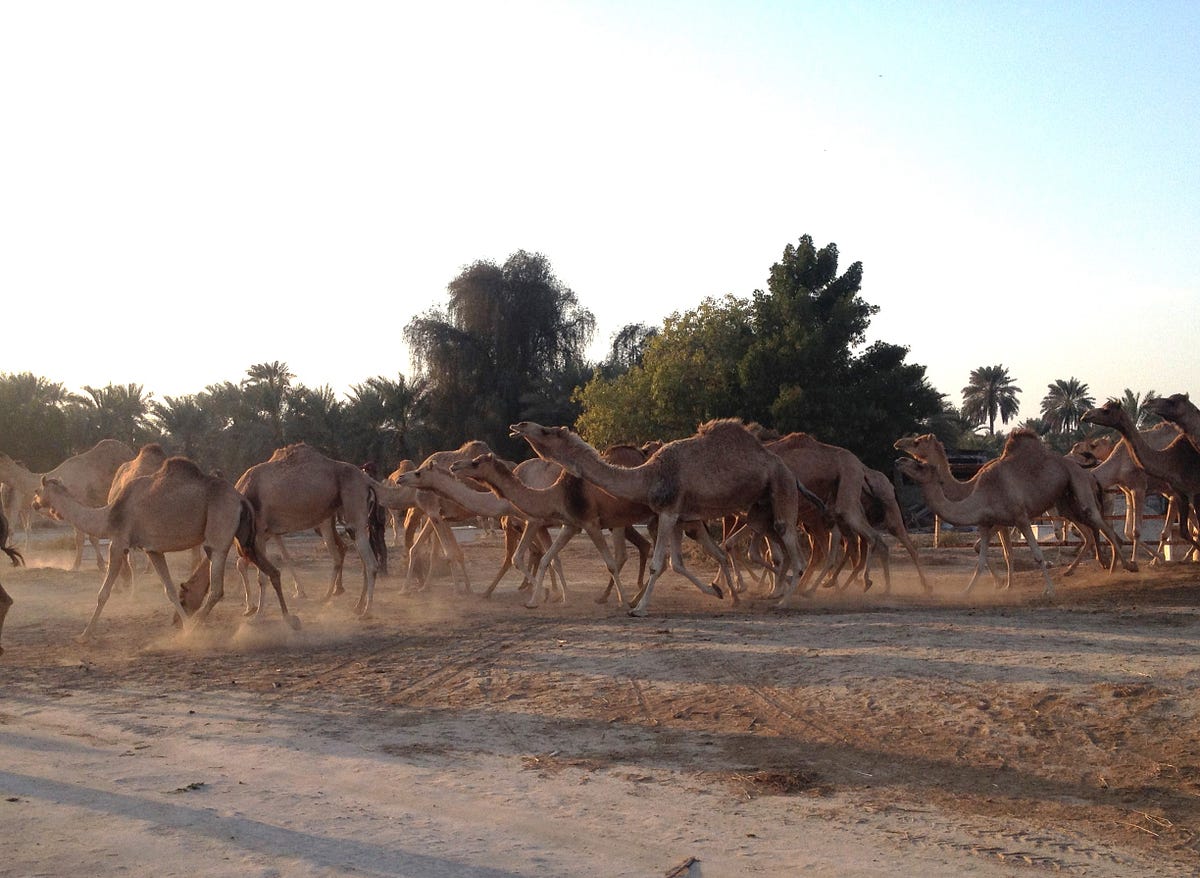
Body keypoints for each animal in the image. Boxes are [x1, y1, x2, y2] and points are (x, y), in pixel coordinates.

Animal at [31, 457, 293, 639]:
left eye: (37, 490)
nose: (34, 504)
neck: (108, 516)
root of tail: (240, 498)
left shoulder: (118, 542)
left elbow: (103, 593)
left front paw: (85, 635)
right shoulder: (152, 549)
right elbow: (169, 590)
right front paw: (184, 625)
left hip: (219, 532)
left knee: (218, 587)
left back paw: (200, 624)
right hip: (246, 537)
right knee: (273, 571)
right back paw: (290, 621)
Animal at [510, 419, 810, 617]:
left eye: (546, 430)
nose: (520, 424)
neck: (648, 476)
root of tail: (786, 468)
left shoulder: (668, 511)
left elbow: (657, 564)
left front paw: (639, 608)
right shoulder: (676, 515)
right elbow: (676, 563)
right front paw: (716, 590)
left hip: (781, 488)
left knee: (793, 548)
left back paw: (783, 601)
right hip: (760, 506)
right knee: (772, 545)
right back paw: (762, 593)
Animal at [896, 429, 1135, 596]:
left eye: (917, 443)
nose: (898, 454)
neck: (972, 490)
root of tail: (1087, 471)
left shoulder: (1018, 518)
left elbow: (1035, 555)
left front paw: (1047, 590)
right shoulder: (988, 523)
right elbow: (985, 558)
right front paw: (970, 590)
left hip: (1079, 486)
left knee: (1100, 523)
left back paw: (1126, 565)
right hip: (1066, 503)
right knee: (1091, 529)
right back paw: (1098, 566)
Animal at [1082, 400, 1200, 560]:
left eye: (1106, 410)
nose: (1085, 415)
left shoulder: (1139, 488)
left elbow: (1136, 531)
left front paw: (1144, 560)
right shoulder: (1127, 491)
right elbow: (1127, 531)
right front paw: (1157, 558)